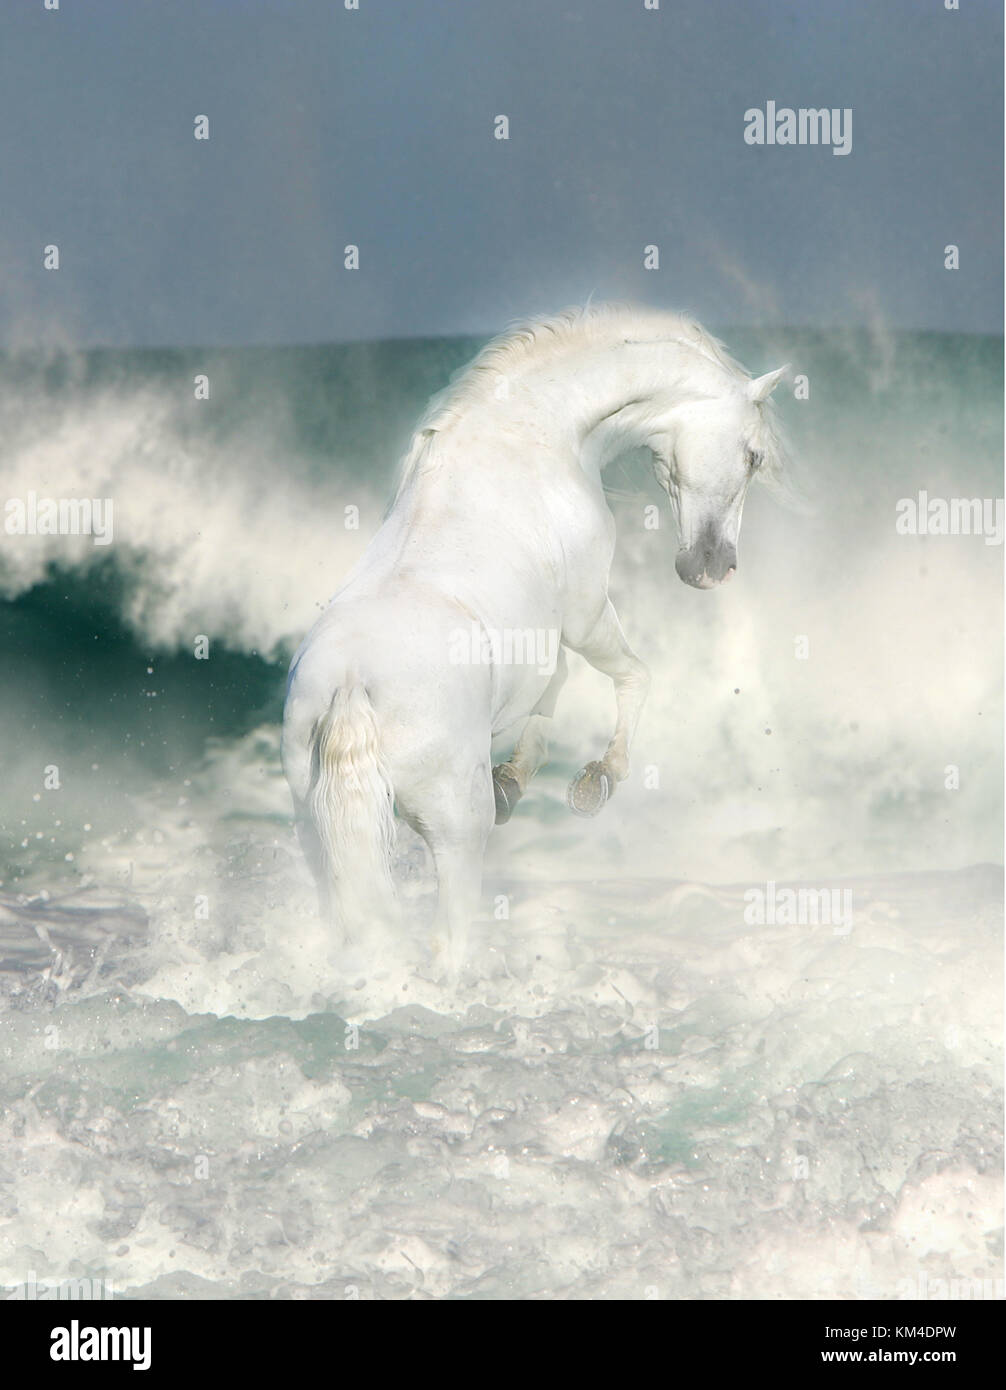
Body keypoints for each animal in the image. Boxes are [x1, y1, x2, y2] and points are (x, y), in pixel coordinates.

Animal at [281, 304, 787, 981]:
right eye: (753, 456)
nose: (712, 567)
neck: (535, 428)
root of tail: (349, 688)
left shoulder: (546, 636)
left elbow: (553, 689)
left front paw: (516, 779)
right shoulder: (585, 612)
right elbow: (634, 676)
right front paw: (598, 778)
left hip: (318, 837)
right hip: (455, 831)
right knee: (450, 939)